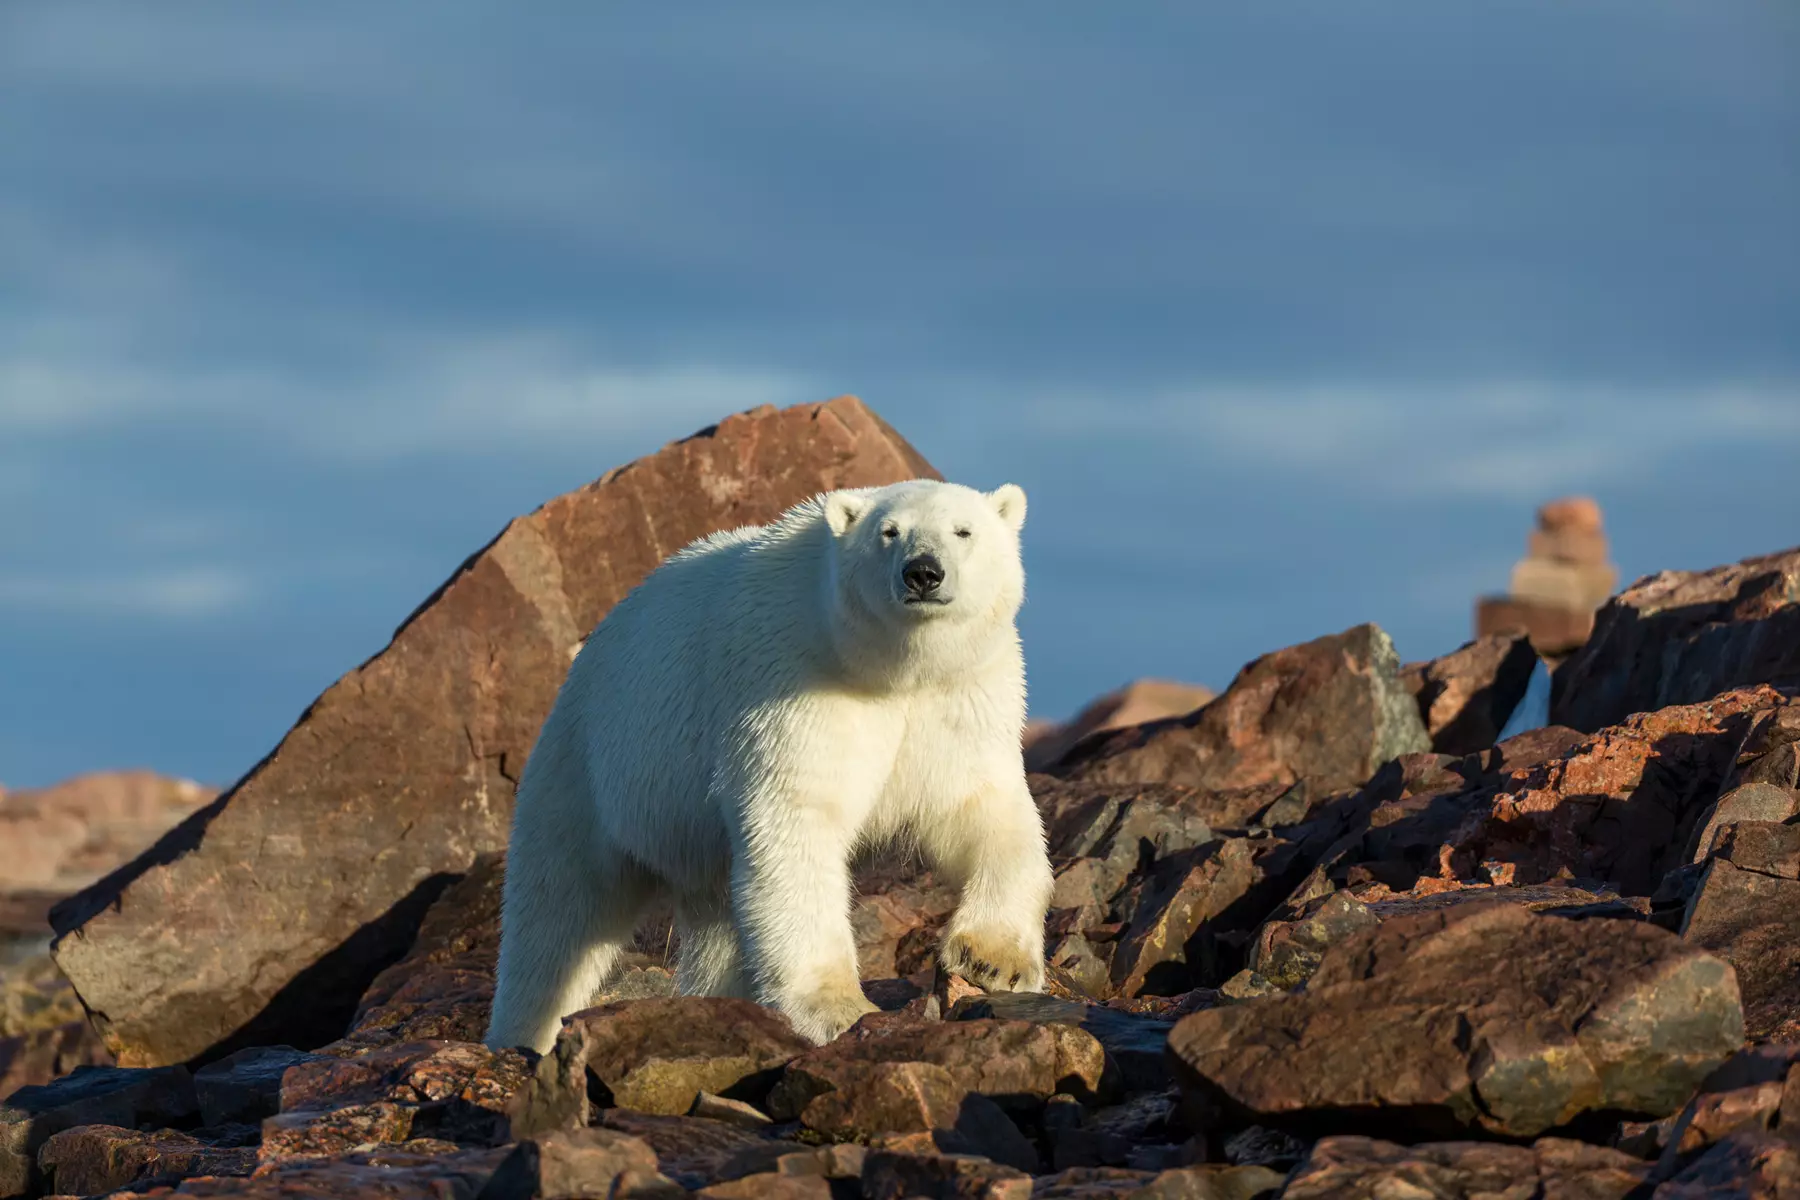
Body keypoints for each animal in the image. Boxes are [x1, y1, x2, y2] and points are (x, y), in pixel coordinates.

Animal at [486, 478, 1058, 1050]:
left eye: (964, 531)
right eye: (889, 532)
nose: (922, 572)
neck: (891, 667)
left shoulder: (960, 701)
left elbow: (987, 814)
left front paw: (992, 960)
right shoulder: (795, 689)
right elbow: (795, 826)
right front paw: (838, 1010)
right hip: (589, 766)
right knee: (556, 917)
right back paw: (523, 1033)